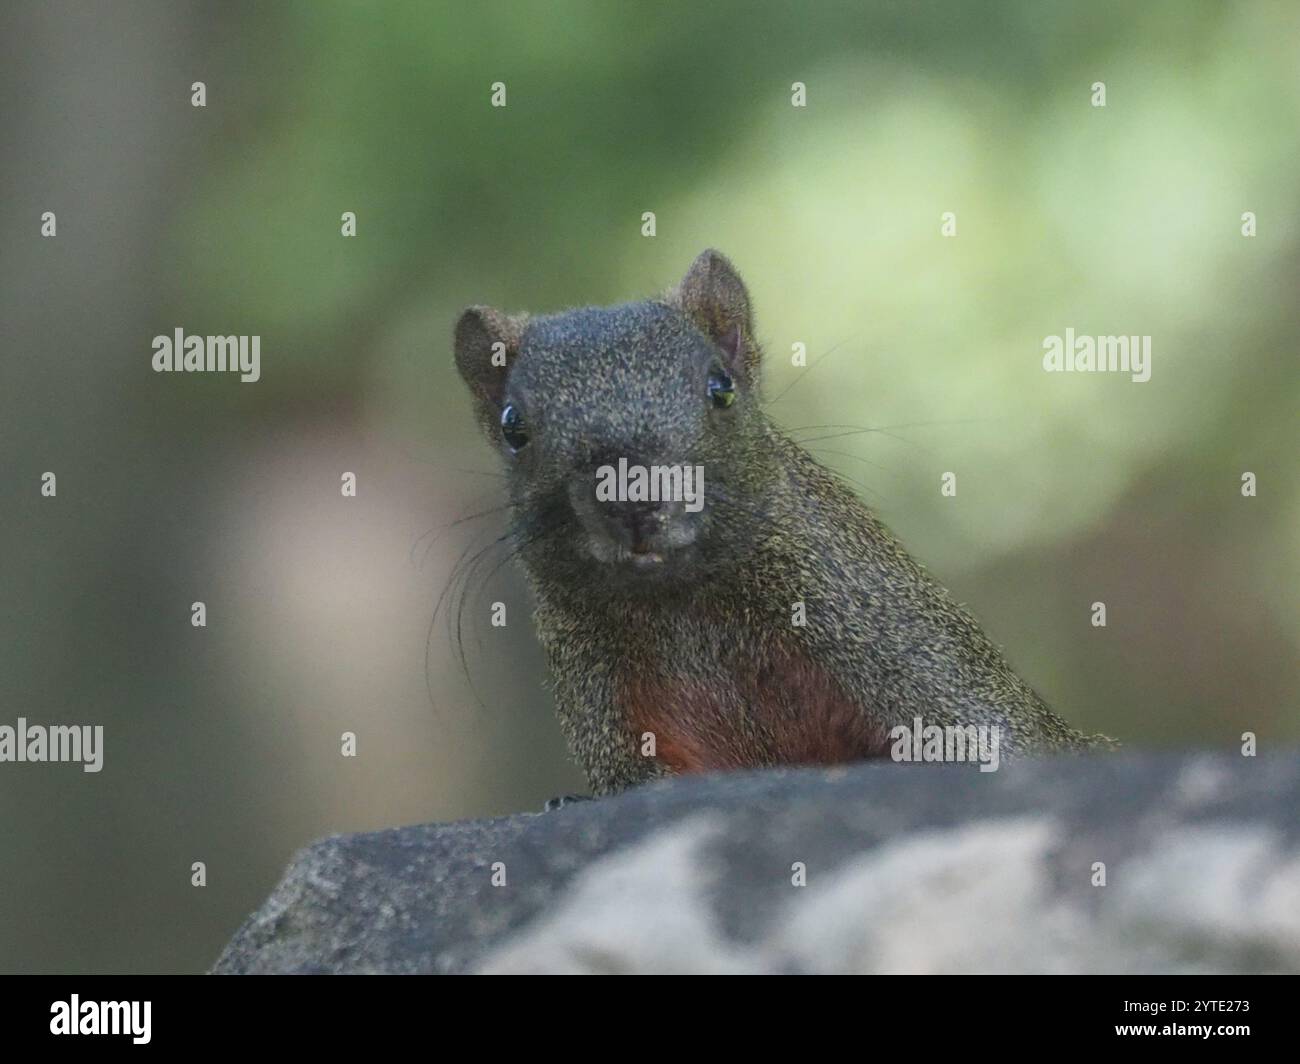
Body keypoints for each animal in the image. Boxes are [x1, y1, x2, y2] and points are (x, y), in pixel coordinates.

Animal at [453, 249, 1115, 795]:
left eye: (721, 387)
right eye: (513, 426)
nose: (633, 498)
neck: (679, 601)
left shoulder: (895, 642)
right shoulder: (607, 698)